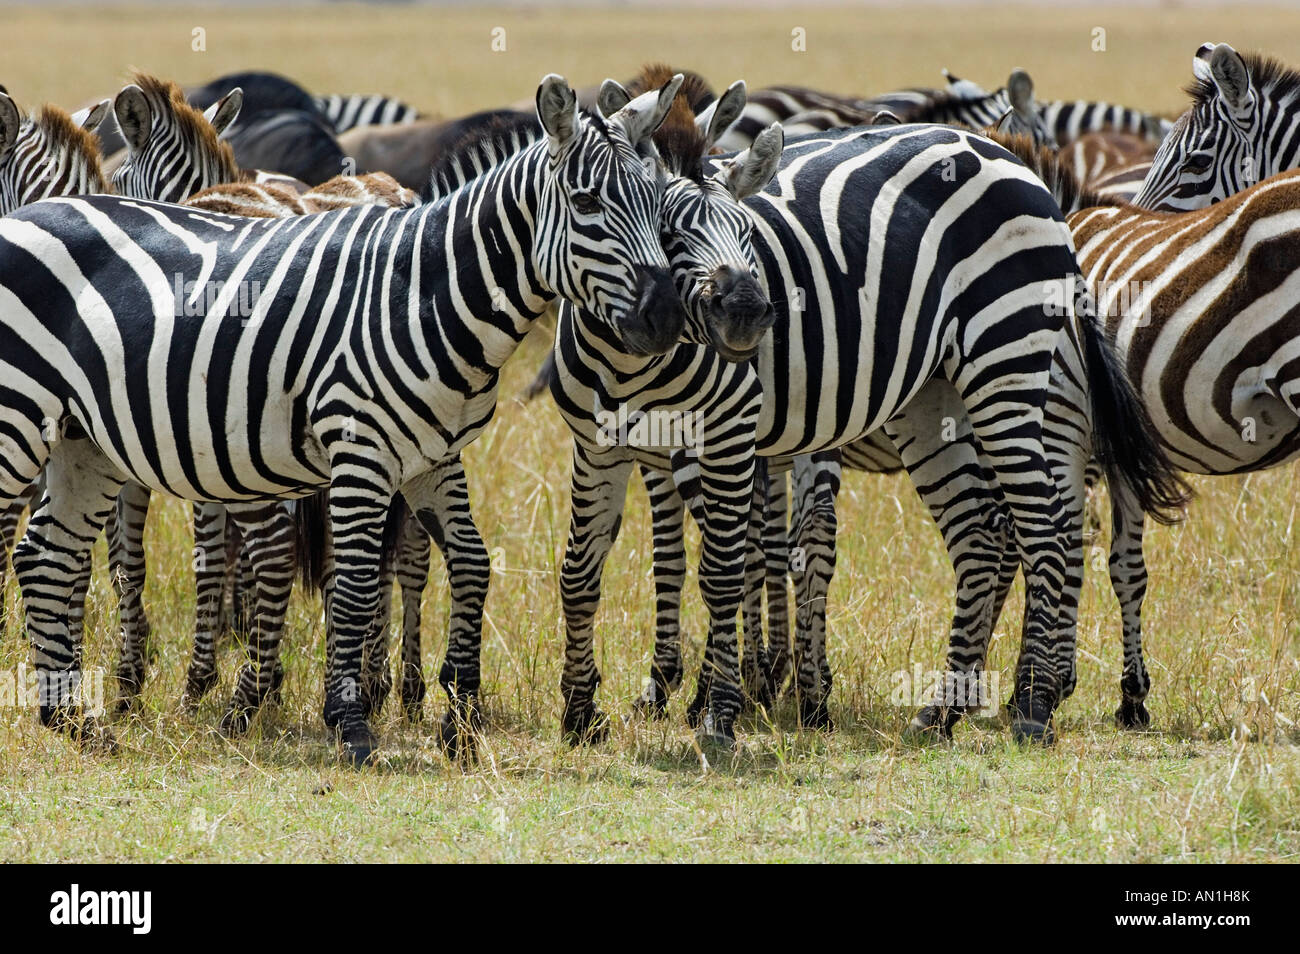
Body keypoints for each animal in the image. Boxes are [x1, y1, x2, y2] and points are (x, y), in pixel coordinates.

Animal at [0, 72, 692, 764]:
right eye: (587, 202)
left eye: (658, 202)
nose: (667, 317)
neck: (427, 293)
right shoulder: (359, 449)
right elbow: (355, 581)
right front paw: (351, 722)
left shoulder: (434, 455)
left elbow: (471, 563)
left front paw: (459, 720)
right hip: (20, 413)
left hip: (84, 438)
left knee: (47, 554)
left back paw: (72, 721)